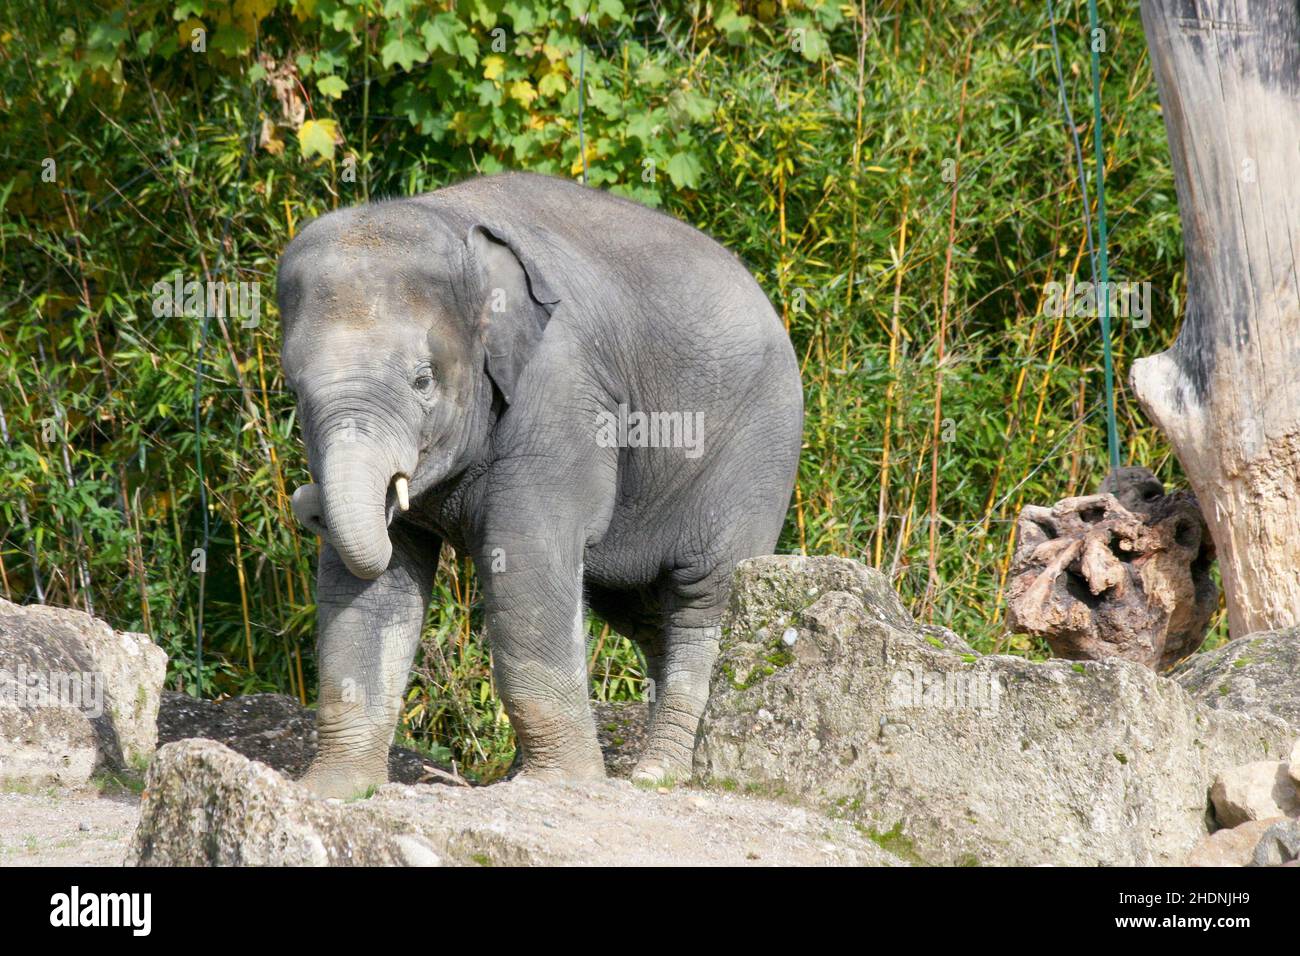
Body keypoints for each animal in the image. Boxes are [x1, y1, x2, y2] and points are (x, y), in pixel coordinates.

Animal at [277, 172, 803, 798]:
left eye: (423, 380)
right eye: (294, 389)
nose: (306, 502)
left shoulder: (560, 391)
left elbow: (526, 554)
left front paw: (563, 783)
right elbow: (370, 584)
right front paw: (332, 791)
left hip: (754, 458)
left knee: (704, 595)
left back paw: (658, 775)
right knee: (646, 614)